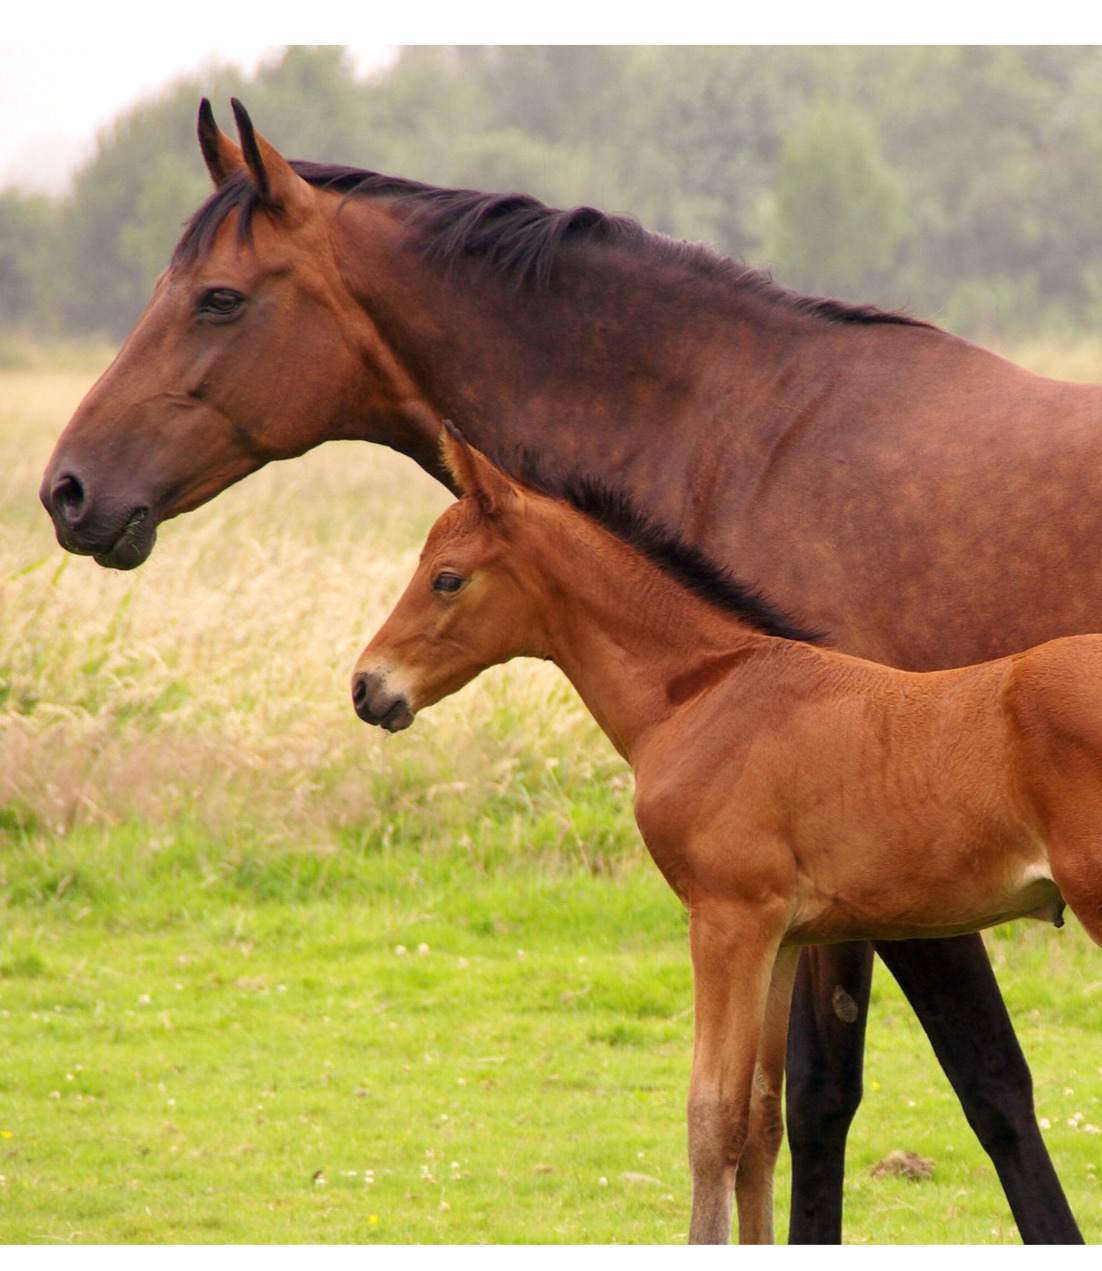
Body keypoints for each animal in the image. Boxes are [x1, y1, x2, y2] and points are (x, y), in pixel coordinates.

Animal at [352, 424, 1101, 1244]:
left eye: (448, 579)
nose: (366, 686)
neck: (701, 691)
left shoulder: (726, 921)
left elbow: (711, 1118)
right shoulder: (782, 939)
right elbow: (761, 1119)